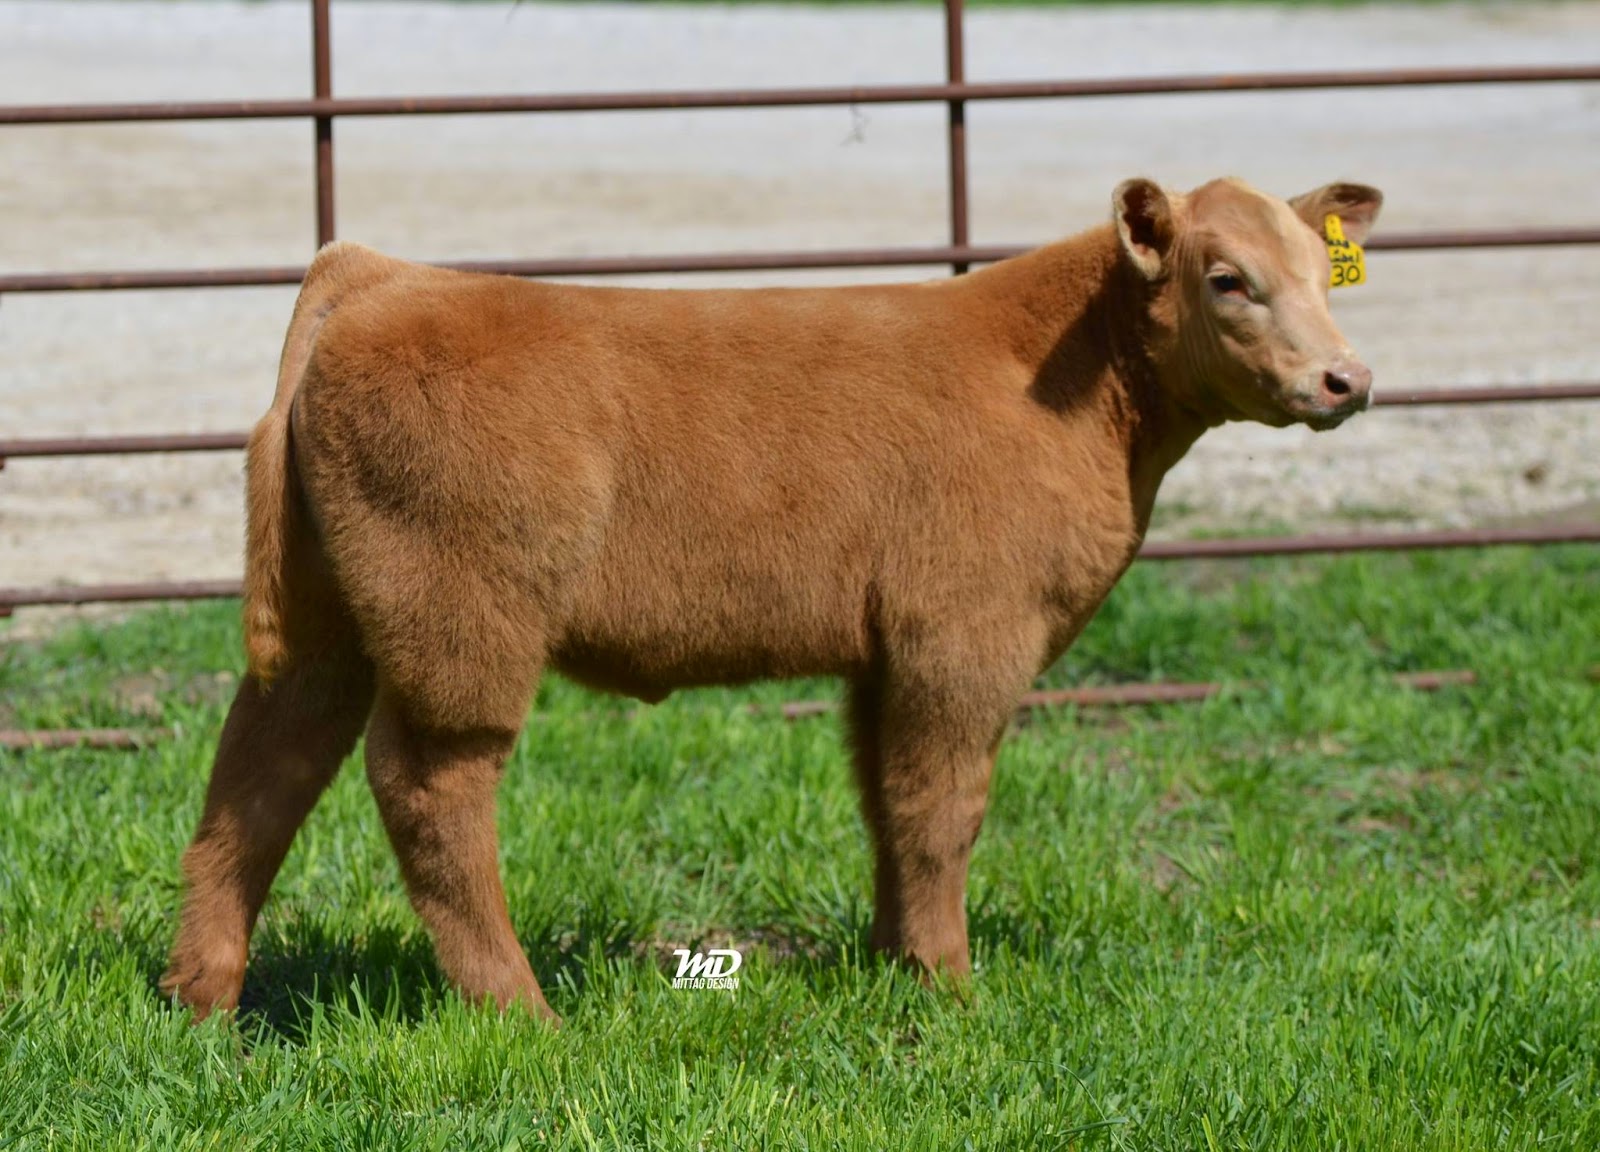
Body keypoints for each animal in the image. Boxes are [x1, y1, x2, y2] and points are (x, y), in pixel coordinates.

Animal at [162, 176, 1382, 1022]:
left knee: (260, 768)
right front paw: (950, 986)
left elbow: (886, 802)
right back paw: (521, 1012)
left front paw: (896, 962)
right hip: (462, 623)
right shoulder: (962, 635)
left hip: (326, 622)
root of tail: (379, 273)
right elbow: (944, 808)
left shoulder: (884, 650)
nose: (1348, 379)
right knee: (426, 790)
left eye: (1329, 279)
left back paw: (202, 1000)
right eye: (1227, 278)